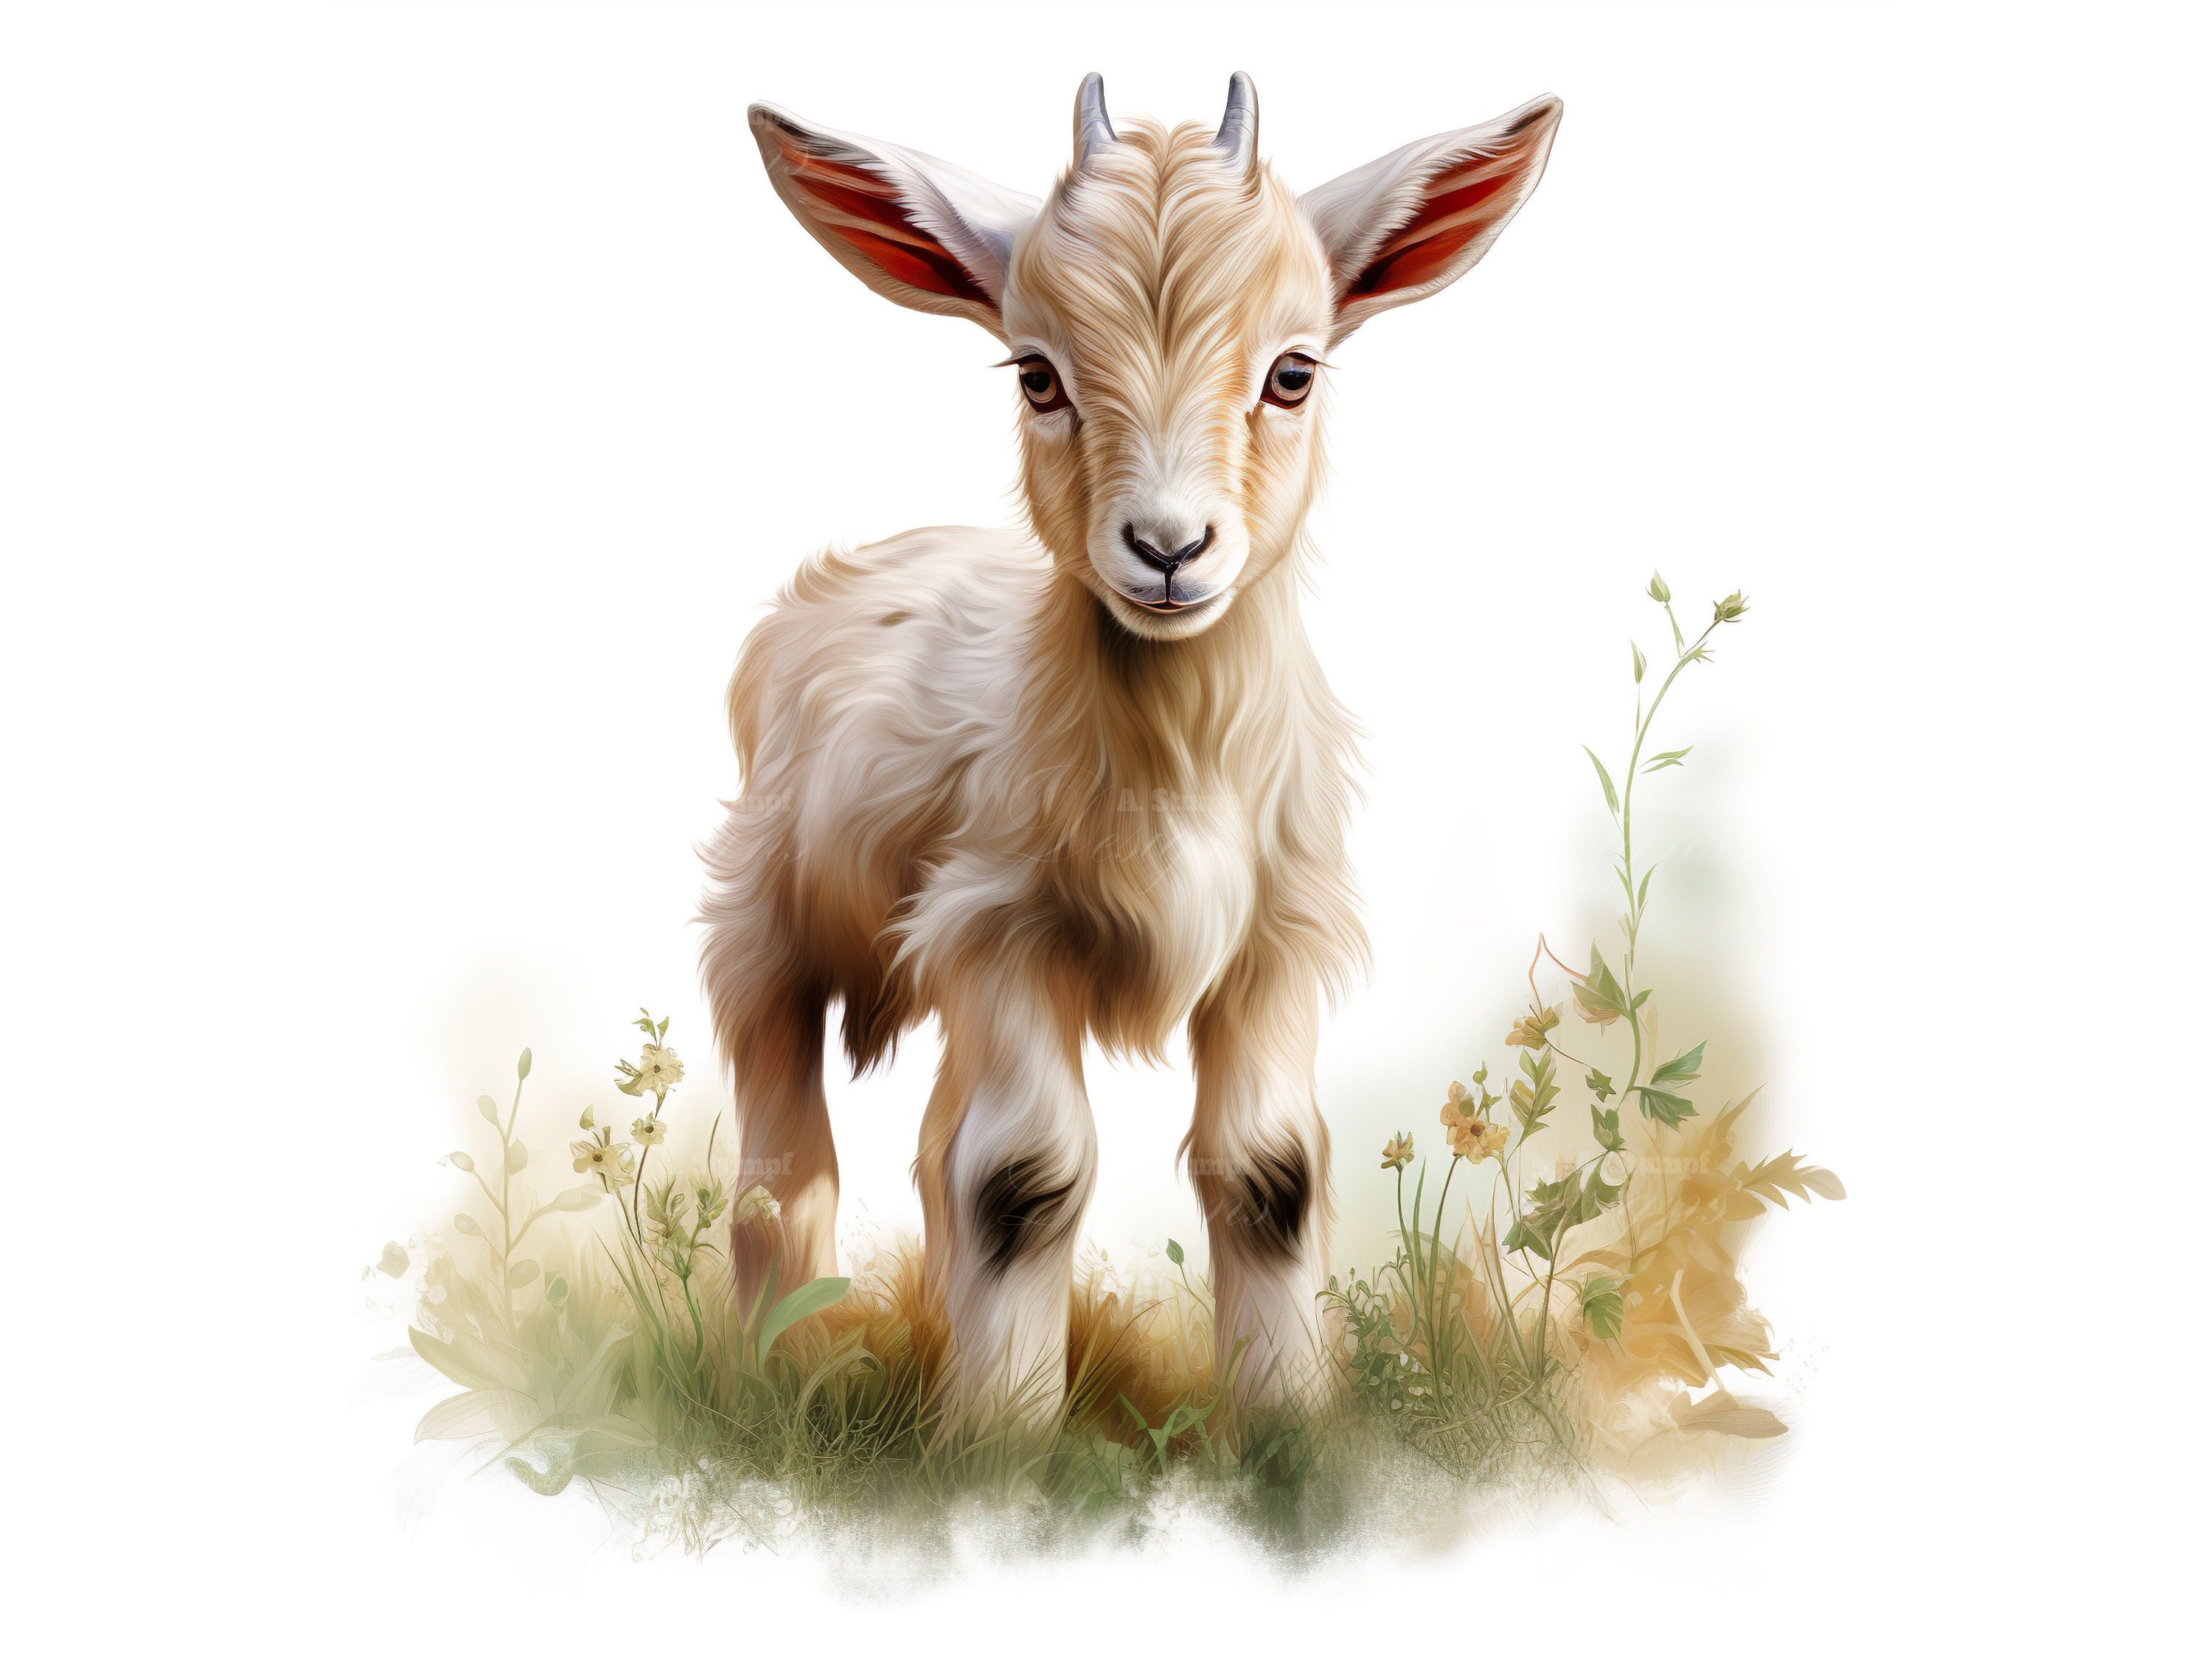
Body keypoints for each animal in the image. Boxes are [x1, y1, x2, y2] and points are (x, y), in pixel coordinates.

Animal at [703, 73, 1561, 1412]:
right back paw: (774, 1377)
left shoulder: (1277, 938)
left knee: (934, 1145)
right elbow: (1025, 1175)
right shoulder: (1002, 924)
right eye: (1036, 375)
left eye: (1294, 373)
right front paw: (1000, 1439)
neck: (1176, 771)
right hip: (767, 914)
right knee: (783, 1167)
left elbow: (1269, 1173)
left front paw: (1285, 1428)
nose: (1166, 548)